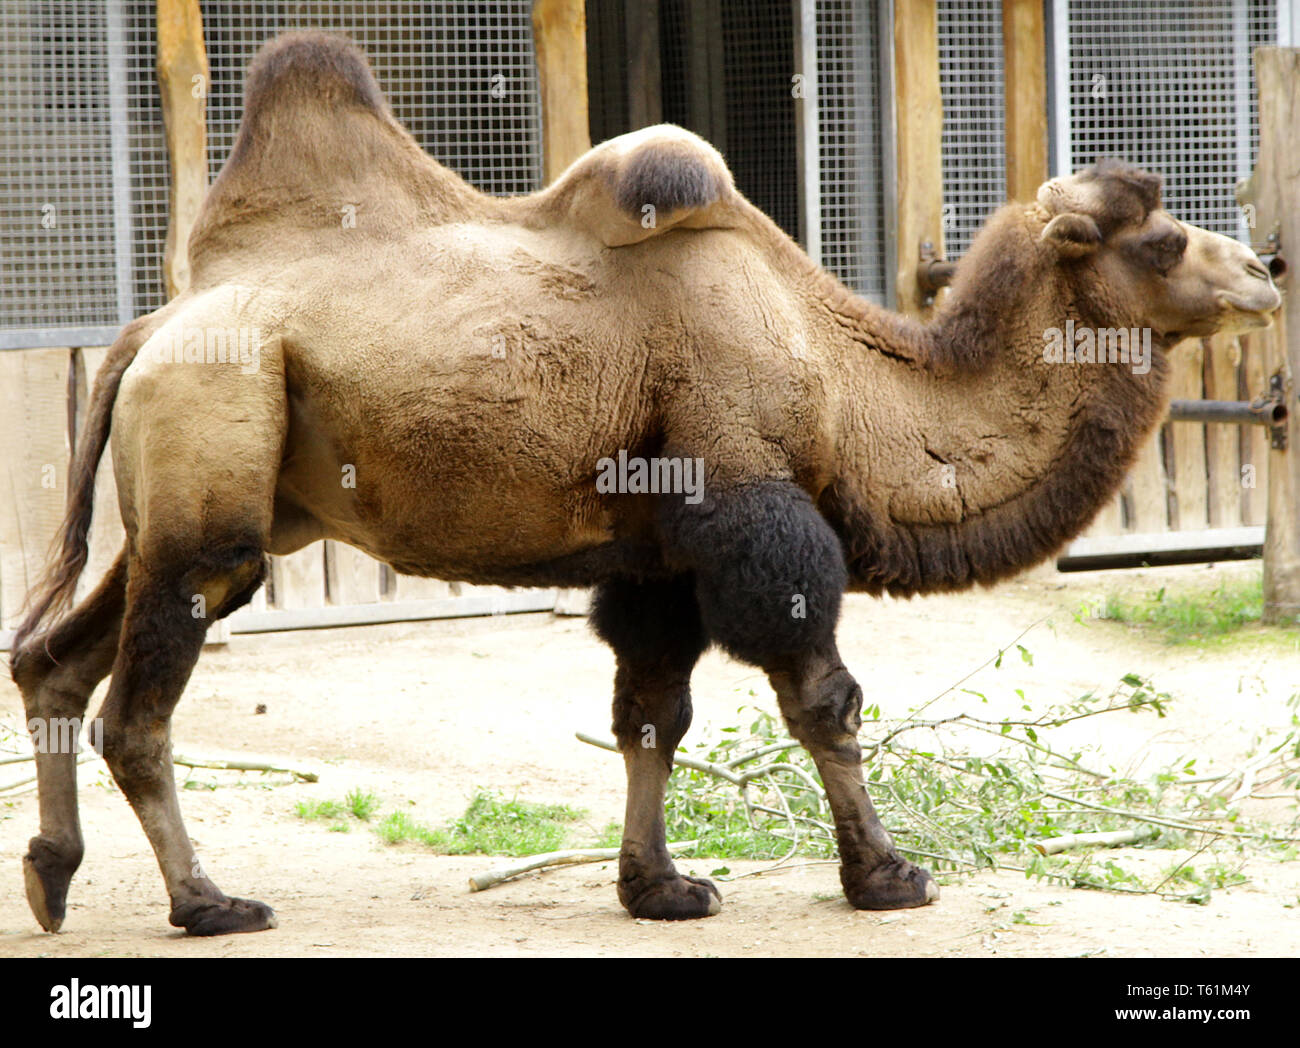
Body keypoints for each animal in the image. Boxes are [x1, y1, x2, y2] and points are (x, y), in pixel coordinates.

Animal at [11, 32, 1280, 936]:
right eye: (1161, 240)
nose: (1263, 270)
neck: (839, 378)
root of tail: (151, 328)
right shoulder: (752, 505)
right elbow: (822, 696)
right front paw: (886, 873)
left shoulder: (662, 558)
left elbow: (650, 716)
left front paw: (659, 886)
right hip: (214, 448)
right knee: (139, 707)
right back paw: (208, 902)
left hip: (198, 493)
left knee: (54, 659)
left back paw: (52, 876)